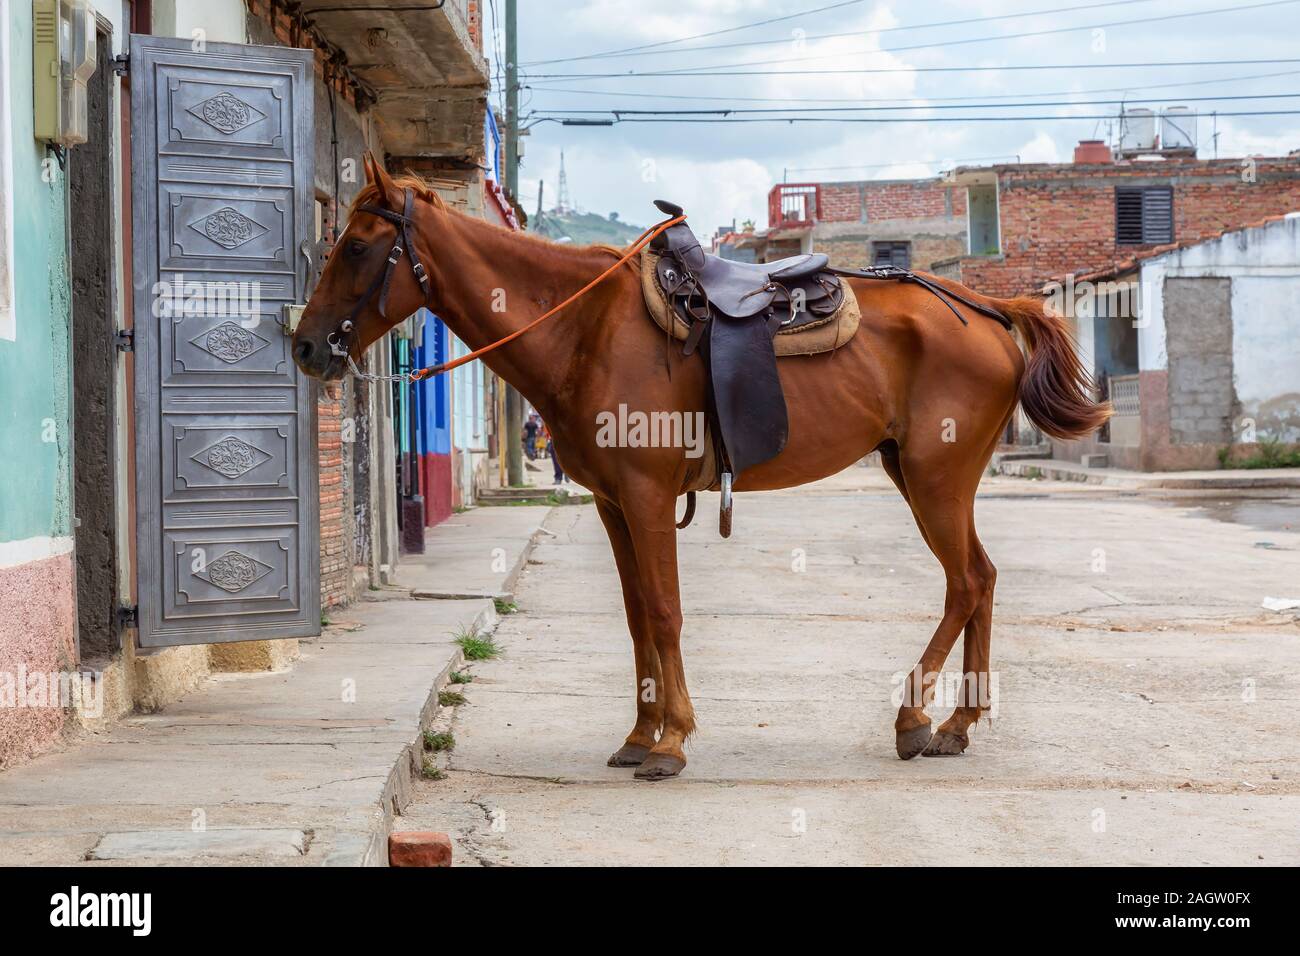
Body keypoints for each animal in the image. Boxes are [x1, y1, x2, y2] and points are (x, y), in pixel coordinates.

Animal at [291, 155, 1110, 780]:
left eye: (357, 247)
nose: (303, 345)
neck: (582, 329)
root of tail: (990, 310)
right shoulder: (613, 503)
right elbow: (635, 617)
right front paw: (638, 734)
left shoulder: (648, 496)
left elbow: (664, 610)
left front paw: (673, 741)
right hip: (917, 475)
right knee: (981, 580)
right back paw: (957, 725)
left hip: (937, 479)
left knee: (967, 581)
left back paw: (913, 717)